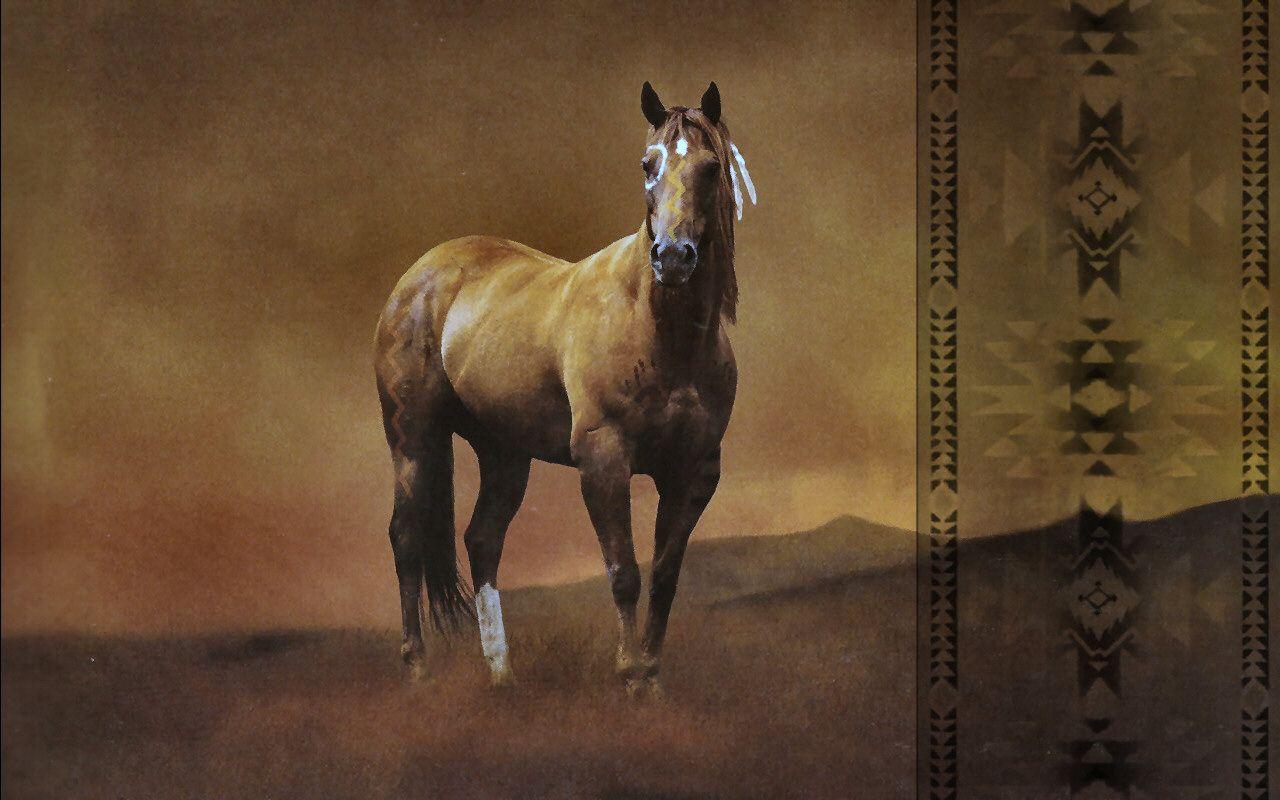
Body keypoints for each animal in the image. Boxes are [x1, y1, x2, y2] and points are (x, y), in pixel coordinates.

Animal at [373, 81, 756, 697]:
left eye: (711, 167)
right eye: (647, 164)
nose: (673, 257)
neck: (659, 333)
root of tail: (421, 274)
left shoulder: (694, 472)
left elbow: (666, 577)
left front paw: (652, 679)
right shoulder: (603, 458)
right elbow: (624, 573)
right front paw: (628, 675)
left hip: (504, 452)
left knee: (482, 541)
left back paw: (502, 674)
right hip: (412, 438)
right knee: (406, 537)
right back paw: (419, 670)